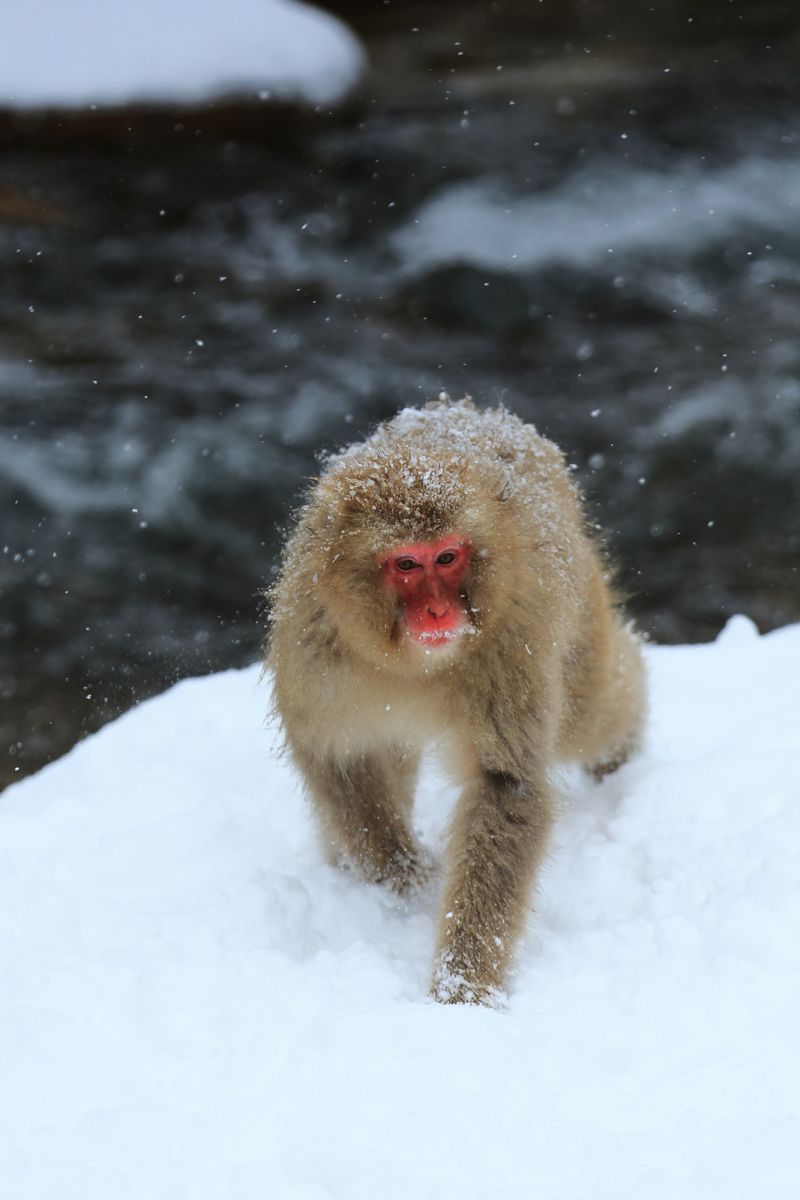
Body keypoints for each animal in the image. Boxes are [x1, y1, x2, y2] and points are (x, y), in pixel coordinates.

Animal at [267, 398, 646, 1005]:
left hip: (575, 615)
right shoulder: (315, 639)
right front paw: (401, 874)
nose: (438, 613)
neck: (411, 663)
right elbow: (338, 756)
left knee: (593, 712)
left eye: (447, 557)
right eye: (405, 564)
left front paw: (461, 988)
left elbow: (504, 785)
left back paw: (622, 756)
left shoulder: (512, 635)